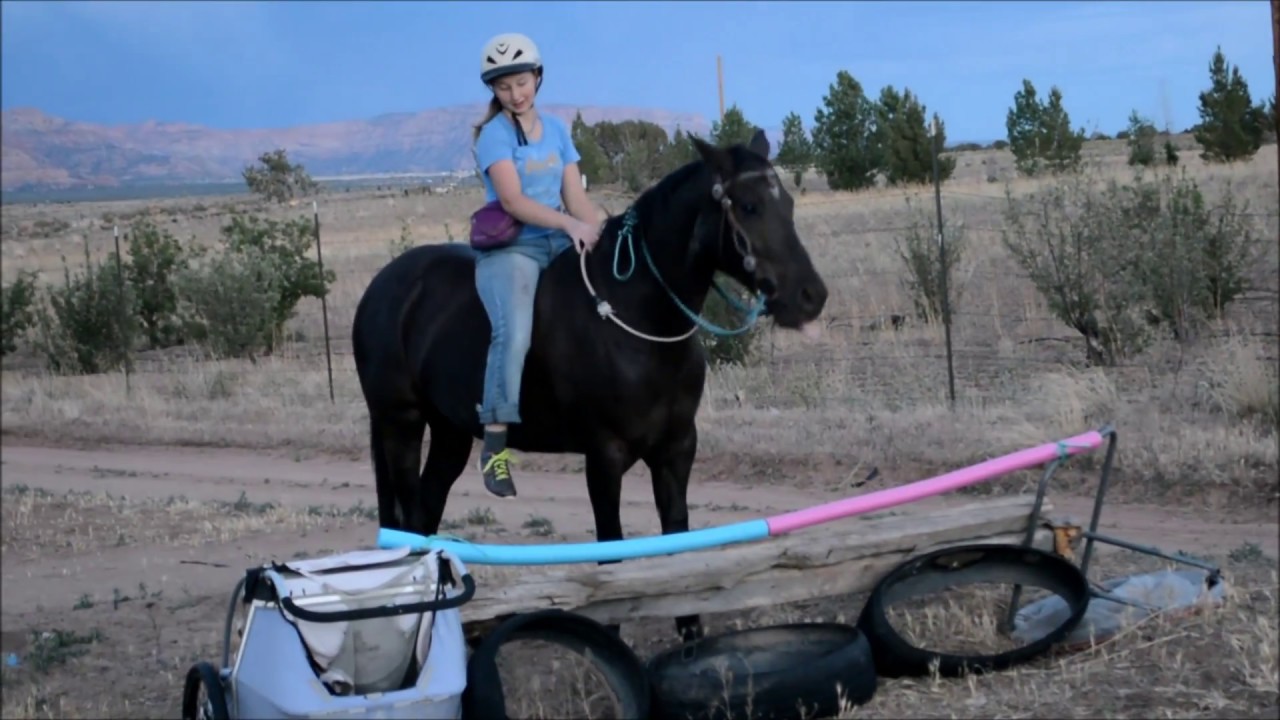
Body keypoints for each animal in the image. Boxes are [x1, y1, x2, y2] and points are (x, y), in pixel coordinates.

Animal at [351, 129, 828, 643]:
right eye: (749, 206)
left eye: (789, 203)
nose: (810, 296)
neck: (637, 314)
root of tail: (384, 286)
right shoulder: (604, 457)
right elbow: (612, 556)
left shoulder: (677, 450)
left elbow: (678, 548)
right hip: (400, 424)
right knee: (411, 522)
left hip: (450, 434)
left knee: (428, 511)